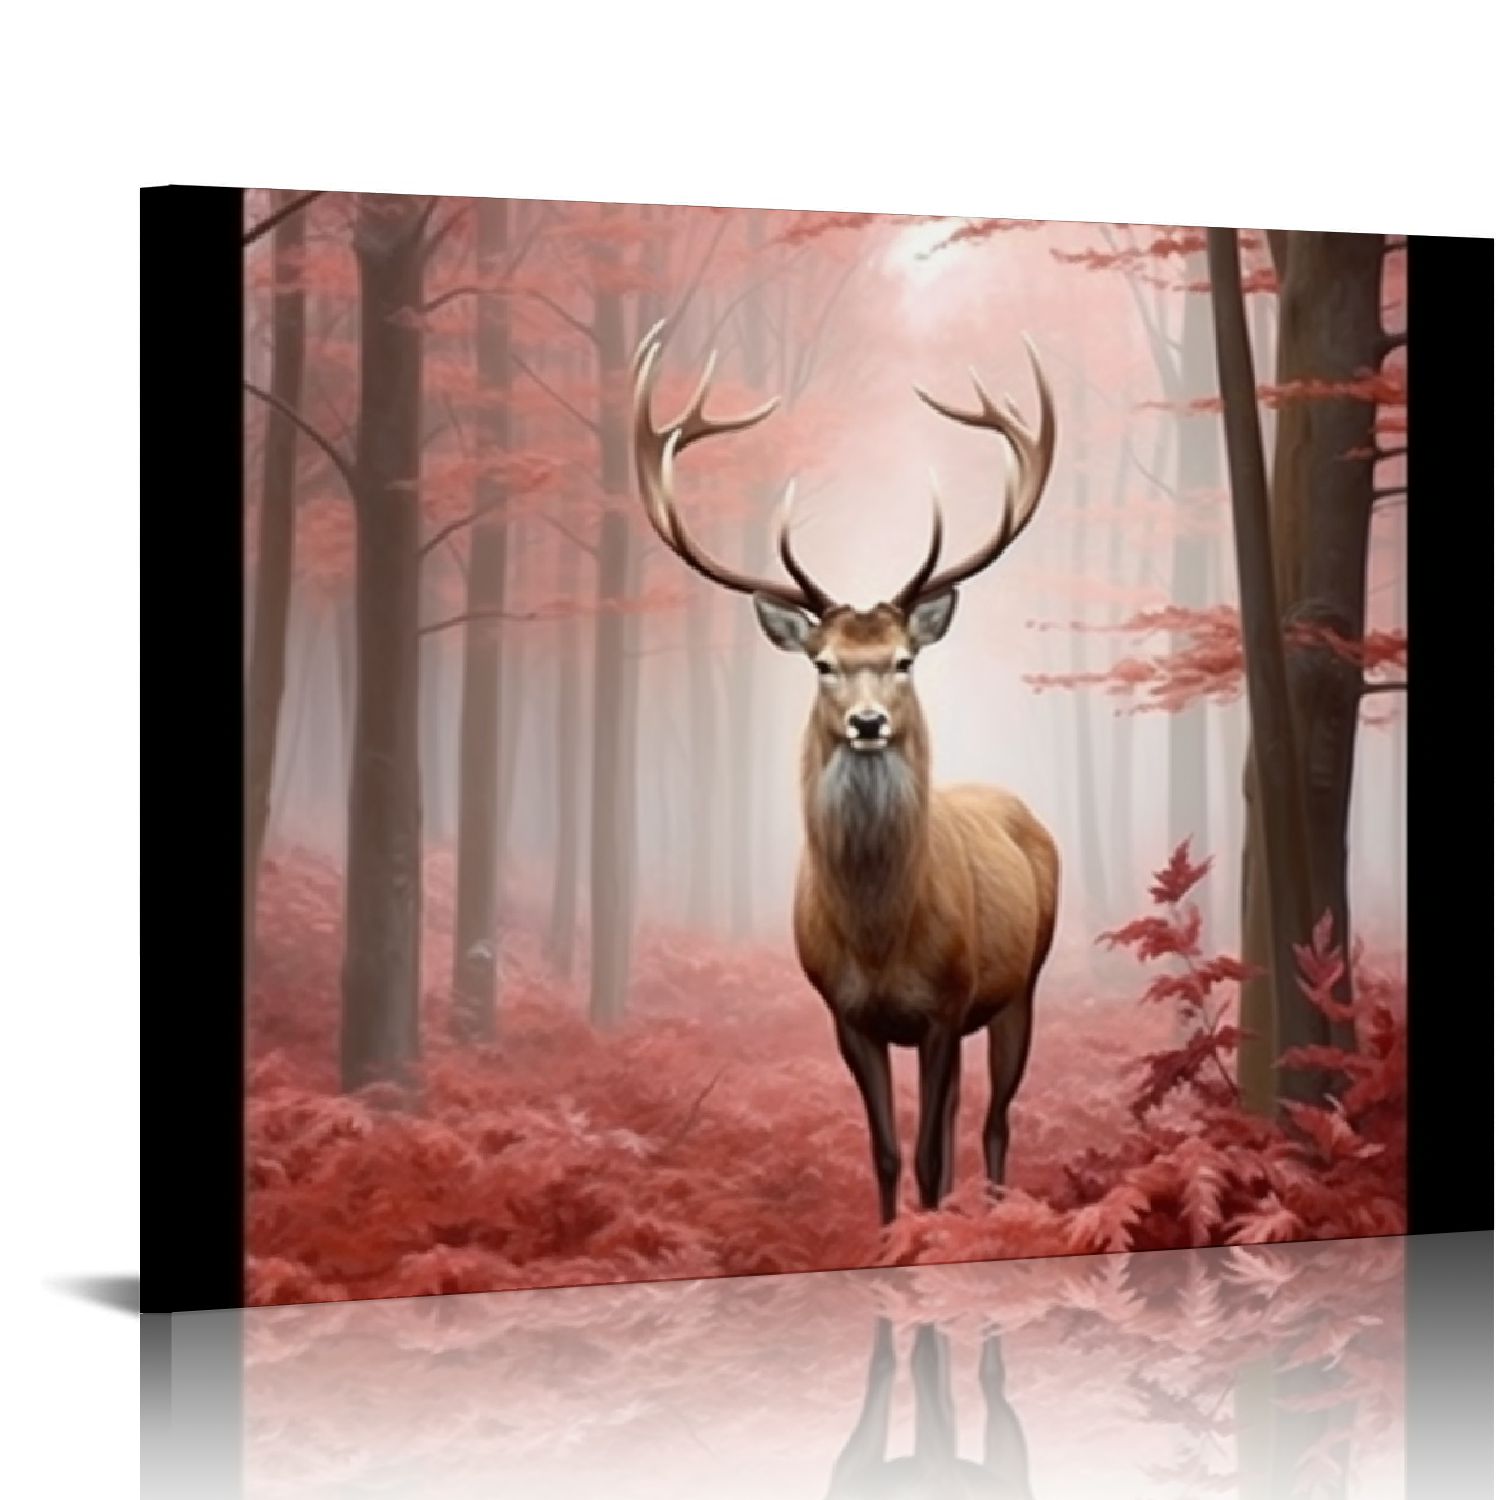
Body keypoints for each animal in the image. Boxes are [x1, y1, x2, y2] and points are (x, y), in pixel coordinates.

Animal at [631, 321, 1060, 1225]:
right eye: (823, 664)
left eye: (903, 660)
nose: (868, 722)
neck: (881, 937)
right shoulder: (844, 1012)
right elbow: (890, 1152)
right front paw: (891, 1237)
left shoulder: (946, 1004)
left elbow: (929, 1153)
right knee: (965, 1117)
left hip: (1021, 983)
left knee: (996, 1119)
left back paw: (998, 1210)